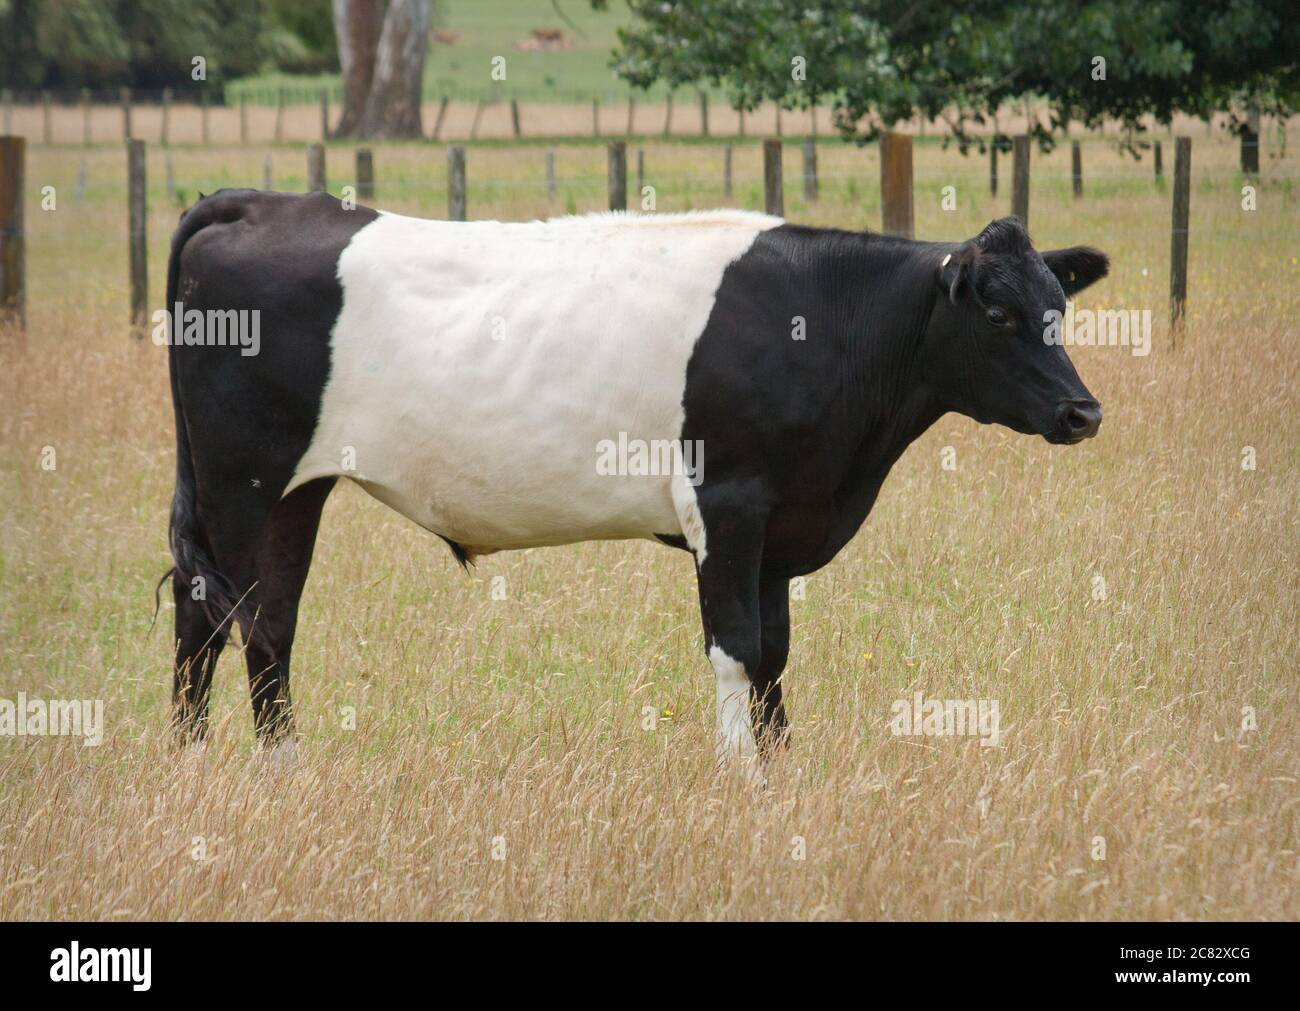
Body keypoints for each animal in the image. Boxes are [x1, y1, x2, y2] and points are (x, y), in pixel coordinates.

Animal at [162, 191, 1106, 770]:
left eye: (1058, 303)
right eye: (997, 311)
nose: (1083, 411)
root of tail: (262, 200)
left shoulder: (780, 531)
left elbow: (774, 653)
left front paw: (783, 768)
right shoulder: (726, 505)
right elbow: (735, 645)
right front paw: (743, 778)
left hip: (294, 491)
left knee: (268, 623)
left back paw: (273, 766)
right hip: (240, 481)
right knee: (208, 616)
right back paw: (196, 761)